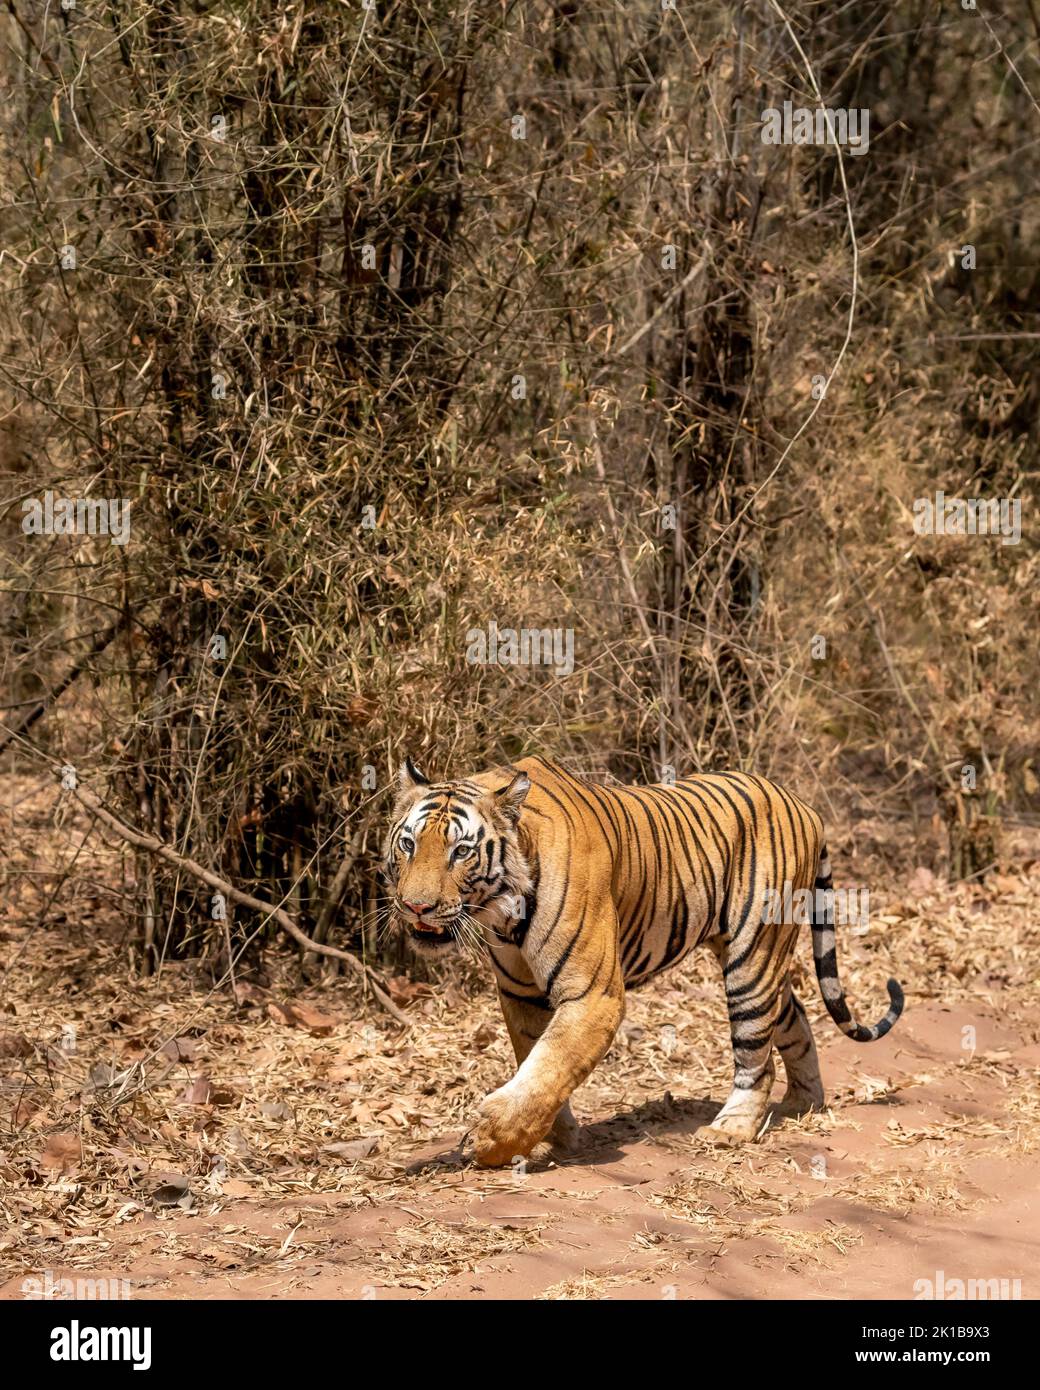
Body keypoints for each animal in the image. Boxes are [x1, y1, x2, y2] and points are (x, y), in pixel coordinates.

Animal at [384, 753, 903, 1167]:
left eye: (461, 851)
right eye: (409, 844)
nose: (415, 906)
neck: (501, 909)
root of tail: (804, 804)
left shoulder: (594, 995)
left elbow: (551, 1063)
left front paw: (492, 1142)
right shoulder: (520, 992)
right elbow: (537, 1063)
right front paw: (554, 1139)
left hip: (753, 956)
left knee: (757, 1050)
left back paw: (732, 1129)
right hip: (759, 955)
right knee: (794, 1019)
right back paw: (803, 1103)